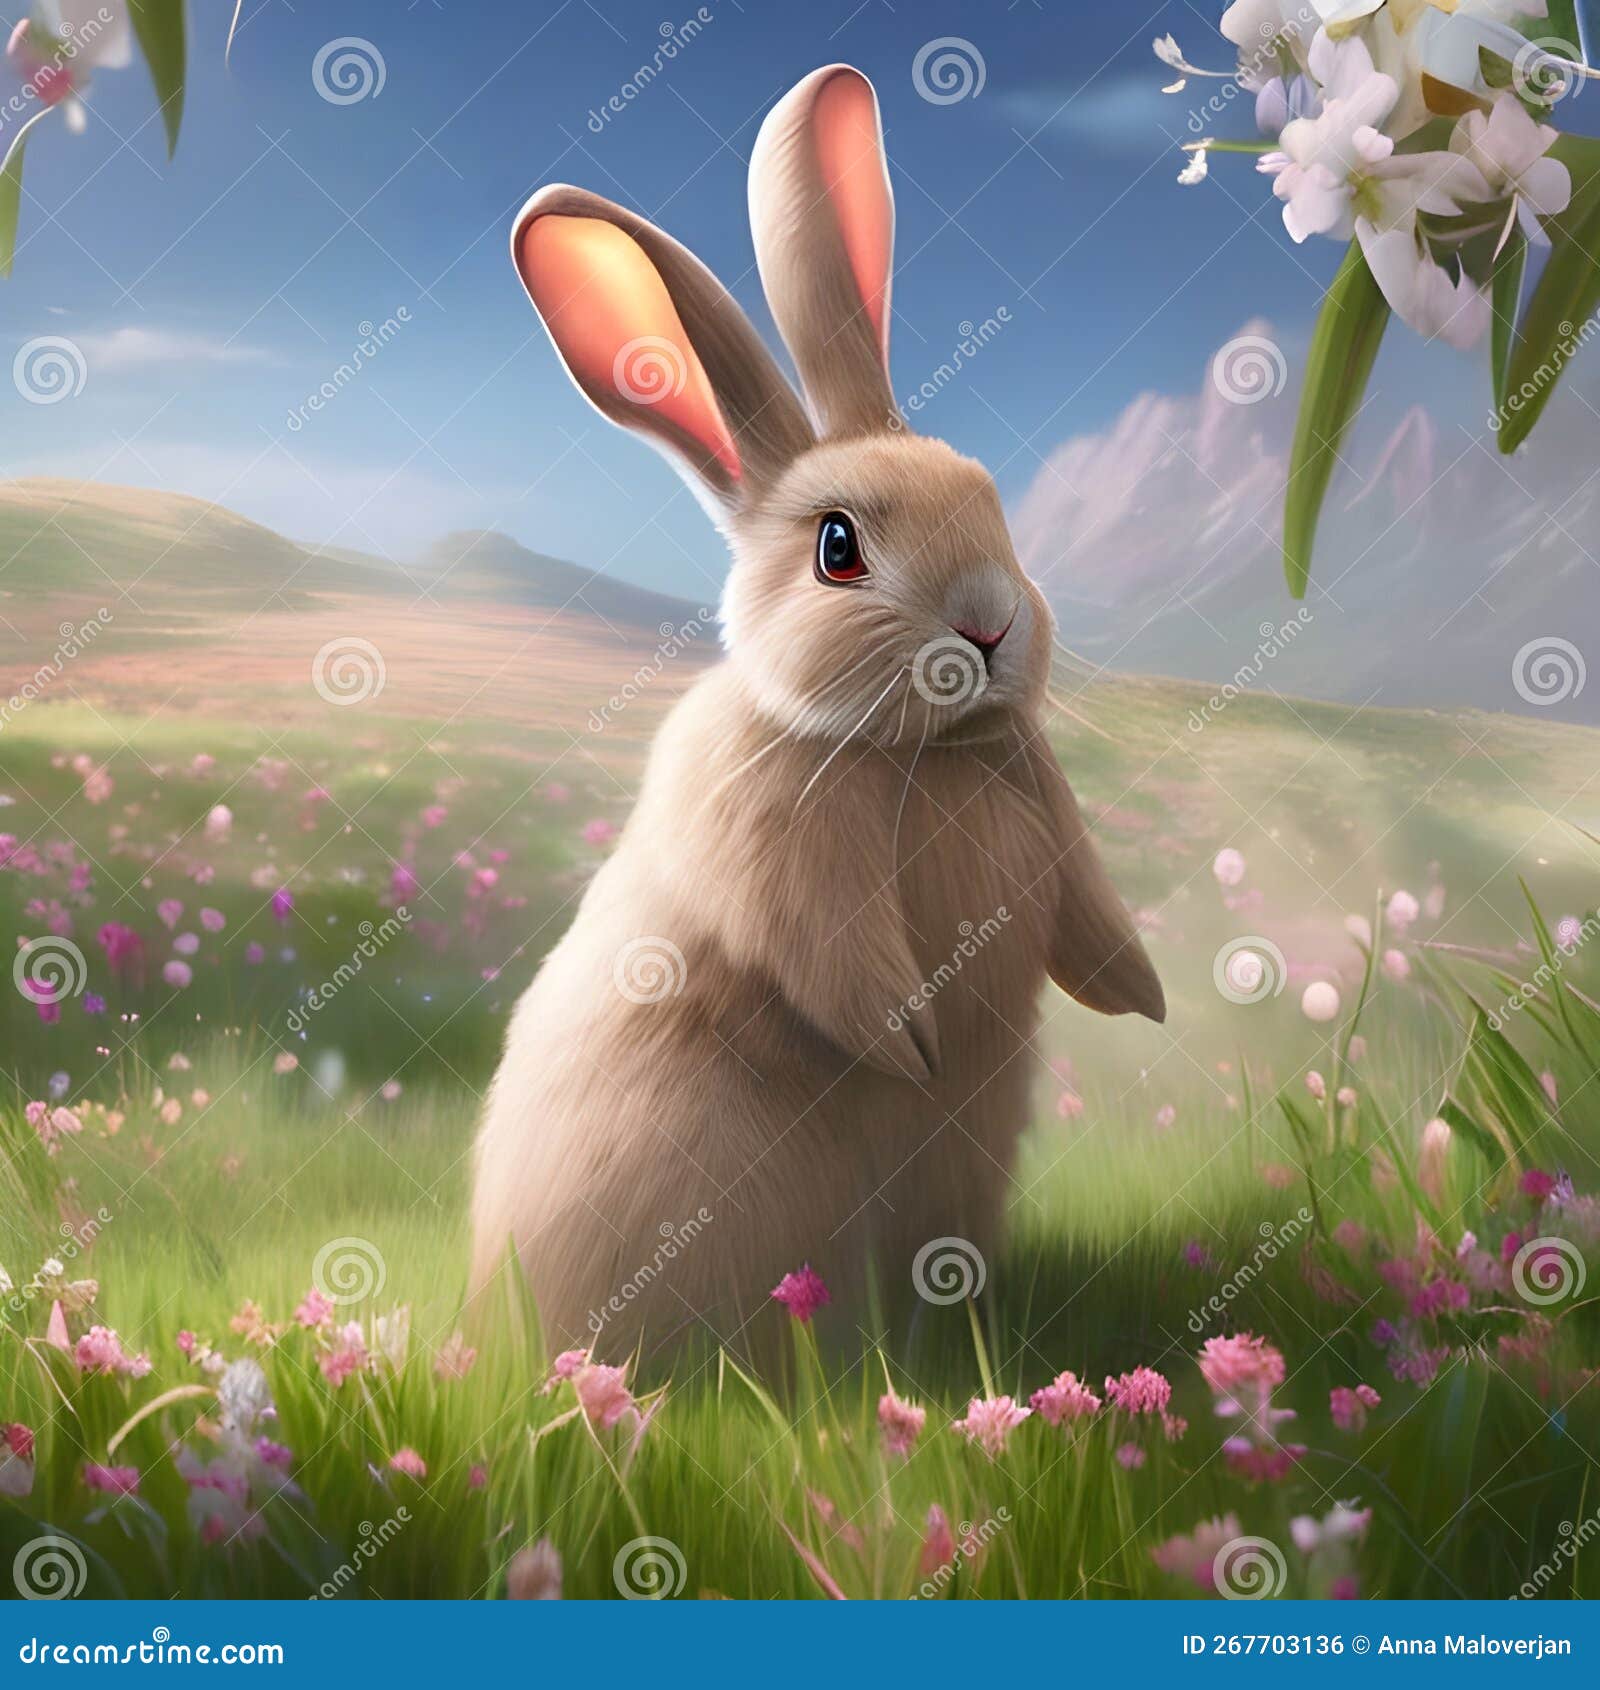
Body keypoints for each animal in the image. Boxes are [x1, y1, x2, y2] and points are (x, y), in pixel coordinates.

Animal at [470, 63, 1164, 1366]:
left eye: (991, 500)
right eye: (837, 549)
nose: (988, 625)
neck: (914, 752)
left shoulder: (1044, 804)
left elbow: (1092, 914)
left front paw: (1139, 993)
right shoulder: (775, 840)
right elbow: (830, 961)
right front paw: (912, 1046)